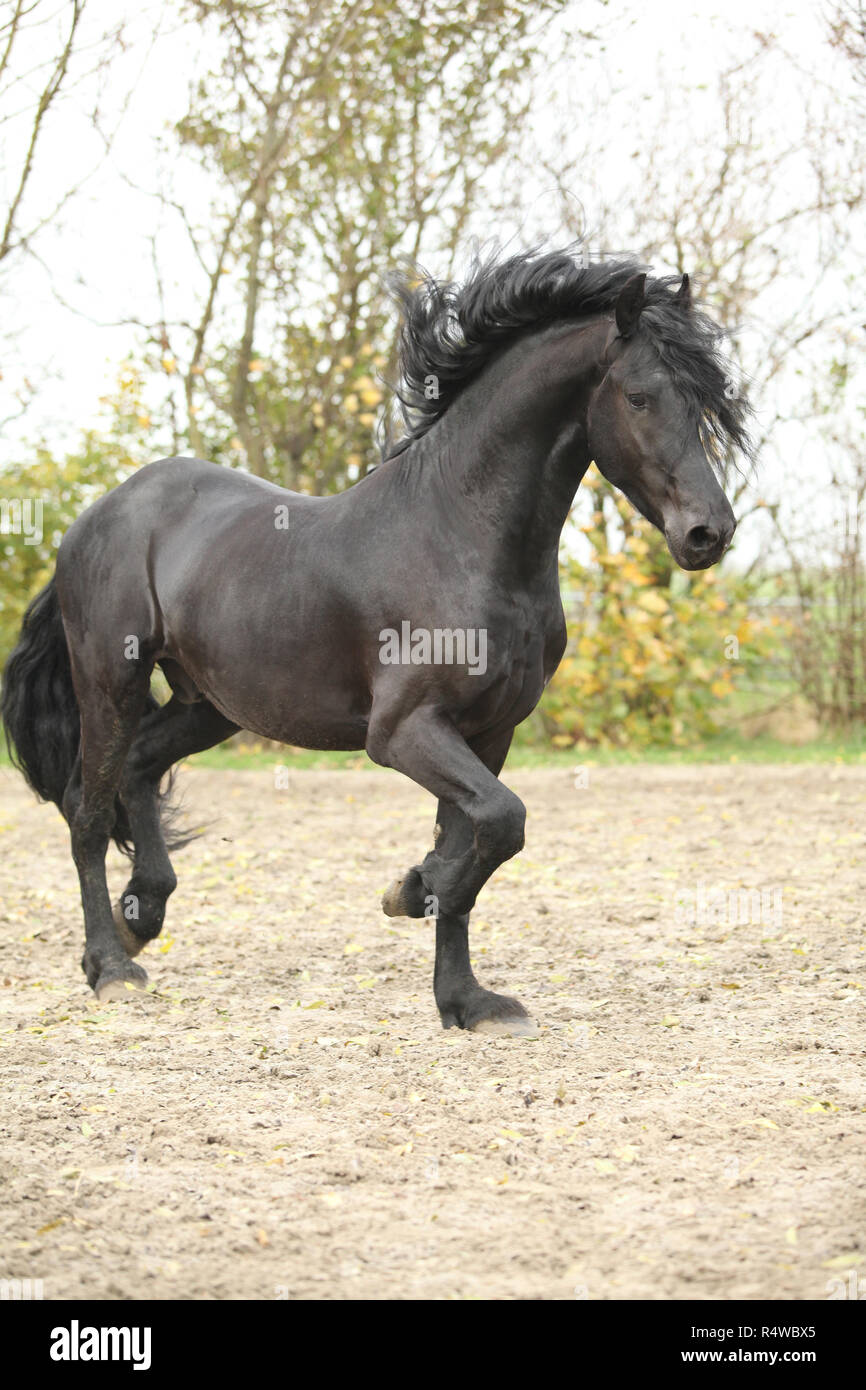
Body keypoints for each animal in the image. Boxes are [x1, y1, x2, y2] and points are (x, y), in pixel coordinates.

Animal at [1, 246, 751, 1031]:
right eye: (638, 397)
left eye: (704, 403)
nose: (709, 533)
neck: (463, 538)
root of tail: (96, 515)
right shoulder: (402, 731)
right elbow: (501, 822)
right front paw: (414, 890)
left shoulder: (488, 733)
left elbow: (479, 834)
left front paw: (466, 998)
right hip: (109, 682)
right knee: (88, 811)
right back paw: (110, 967)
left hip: (209, 705)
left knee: (141, 769)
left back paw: (141, 915)